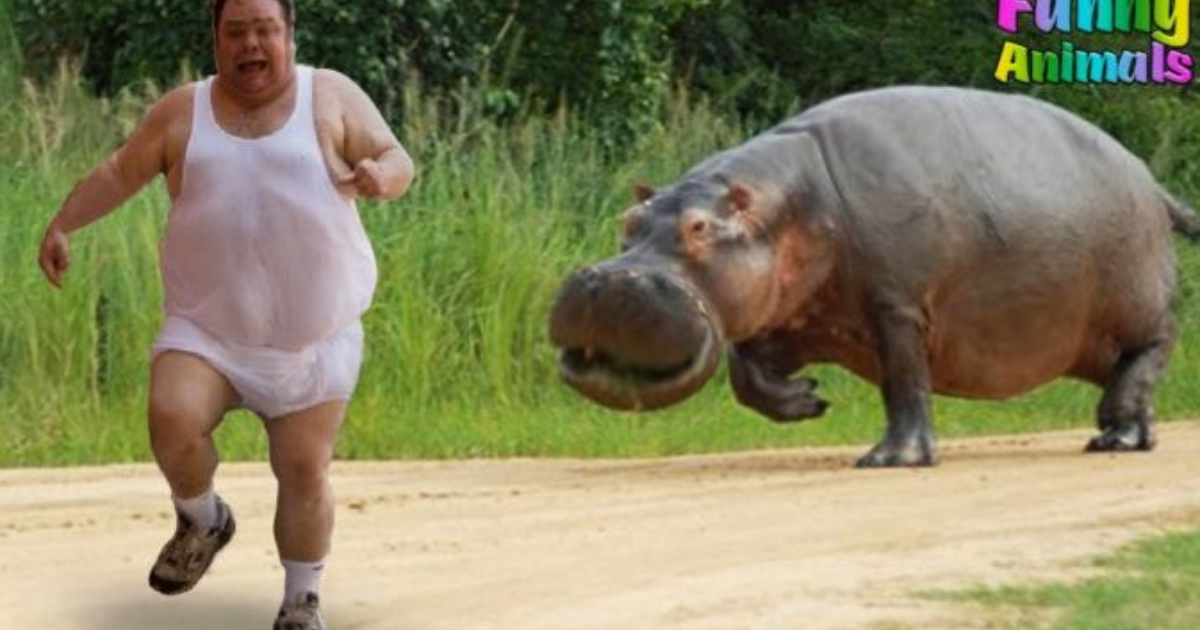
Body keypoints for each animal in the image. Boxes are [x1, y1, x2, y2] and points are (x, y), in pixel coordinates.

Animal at [548, 86, 1199, 467]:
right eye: (627, 221)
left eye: (699, 228)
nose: (602, 281)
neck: (789, 204)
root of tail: (1153, 183)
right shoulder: (791, 317)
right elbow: (745, 375)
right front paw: (806, 401)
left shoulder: (898, 308)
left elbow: (904, 382)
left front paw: (892, 458)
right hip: (1083, 342)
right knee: (1130, 377)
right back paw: (1127, 435)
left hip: (1132, 308)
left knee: (1154, 346)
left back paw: (1115, 440)